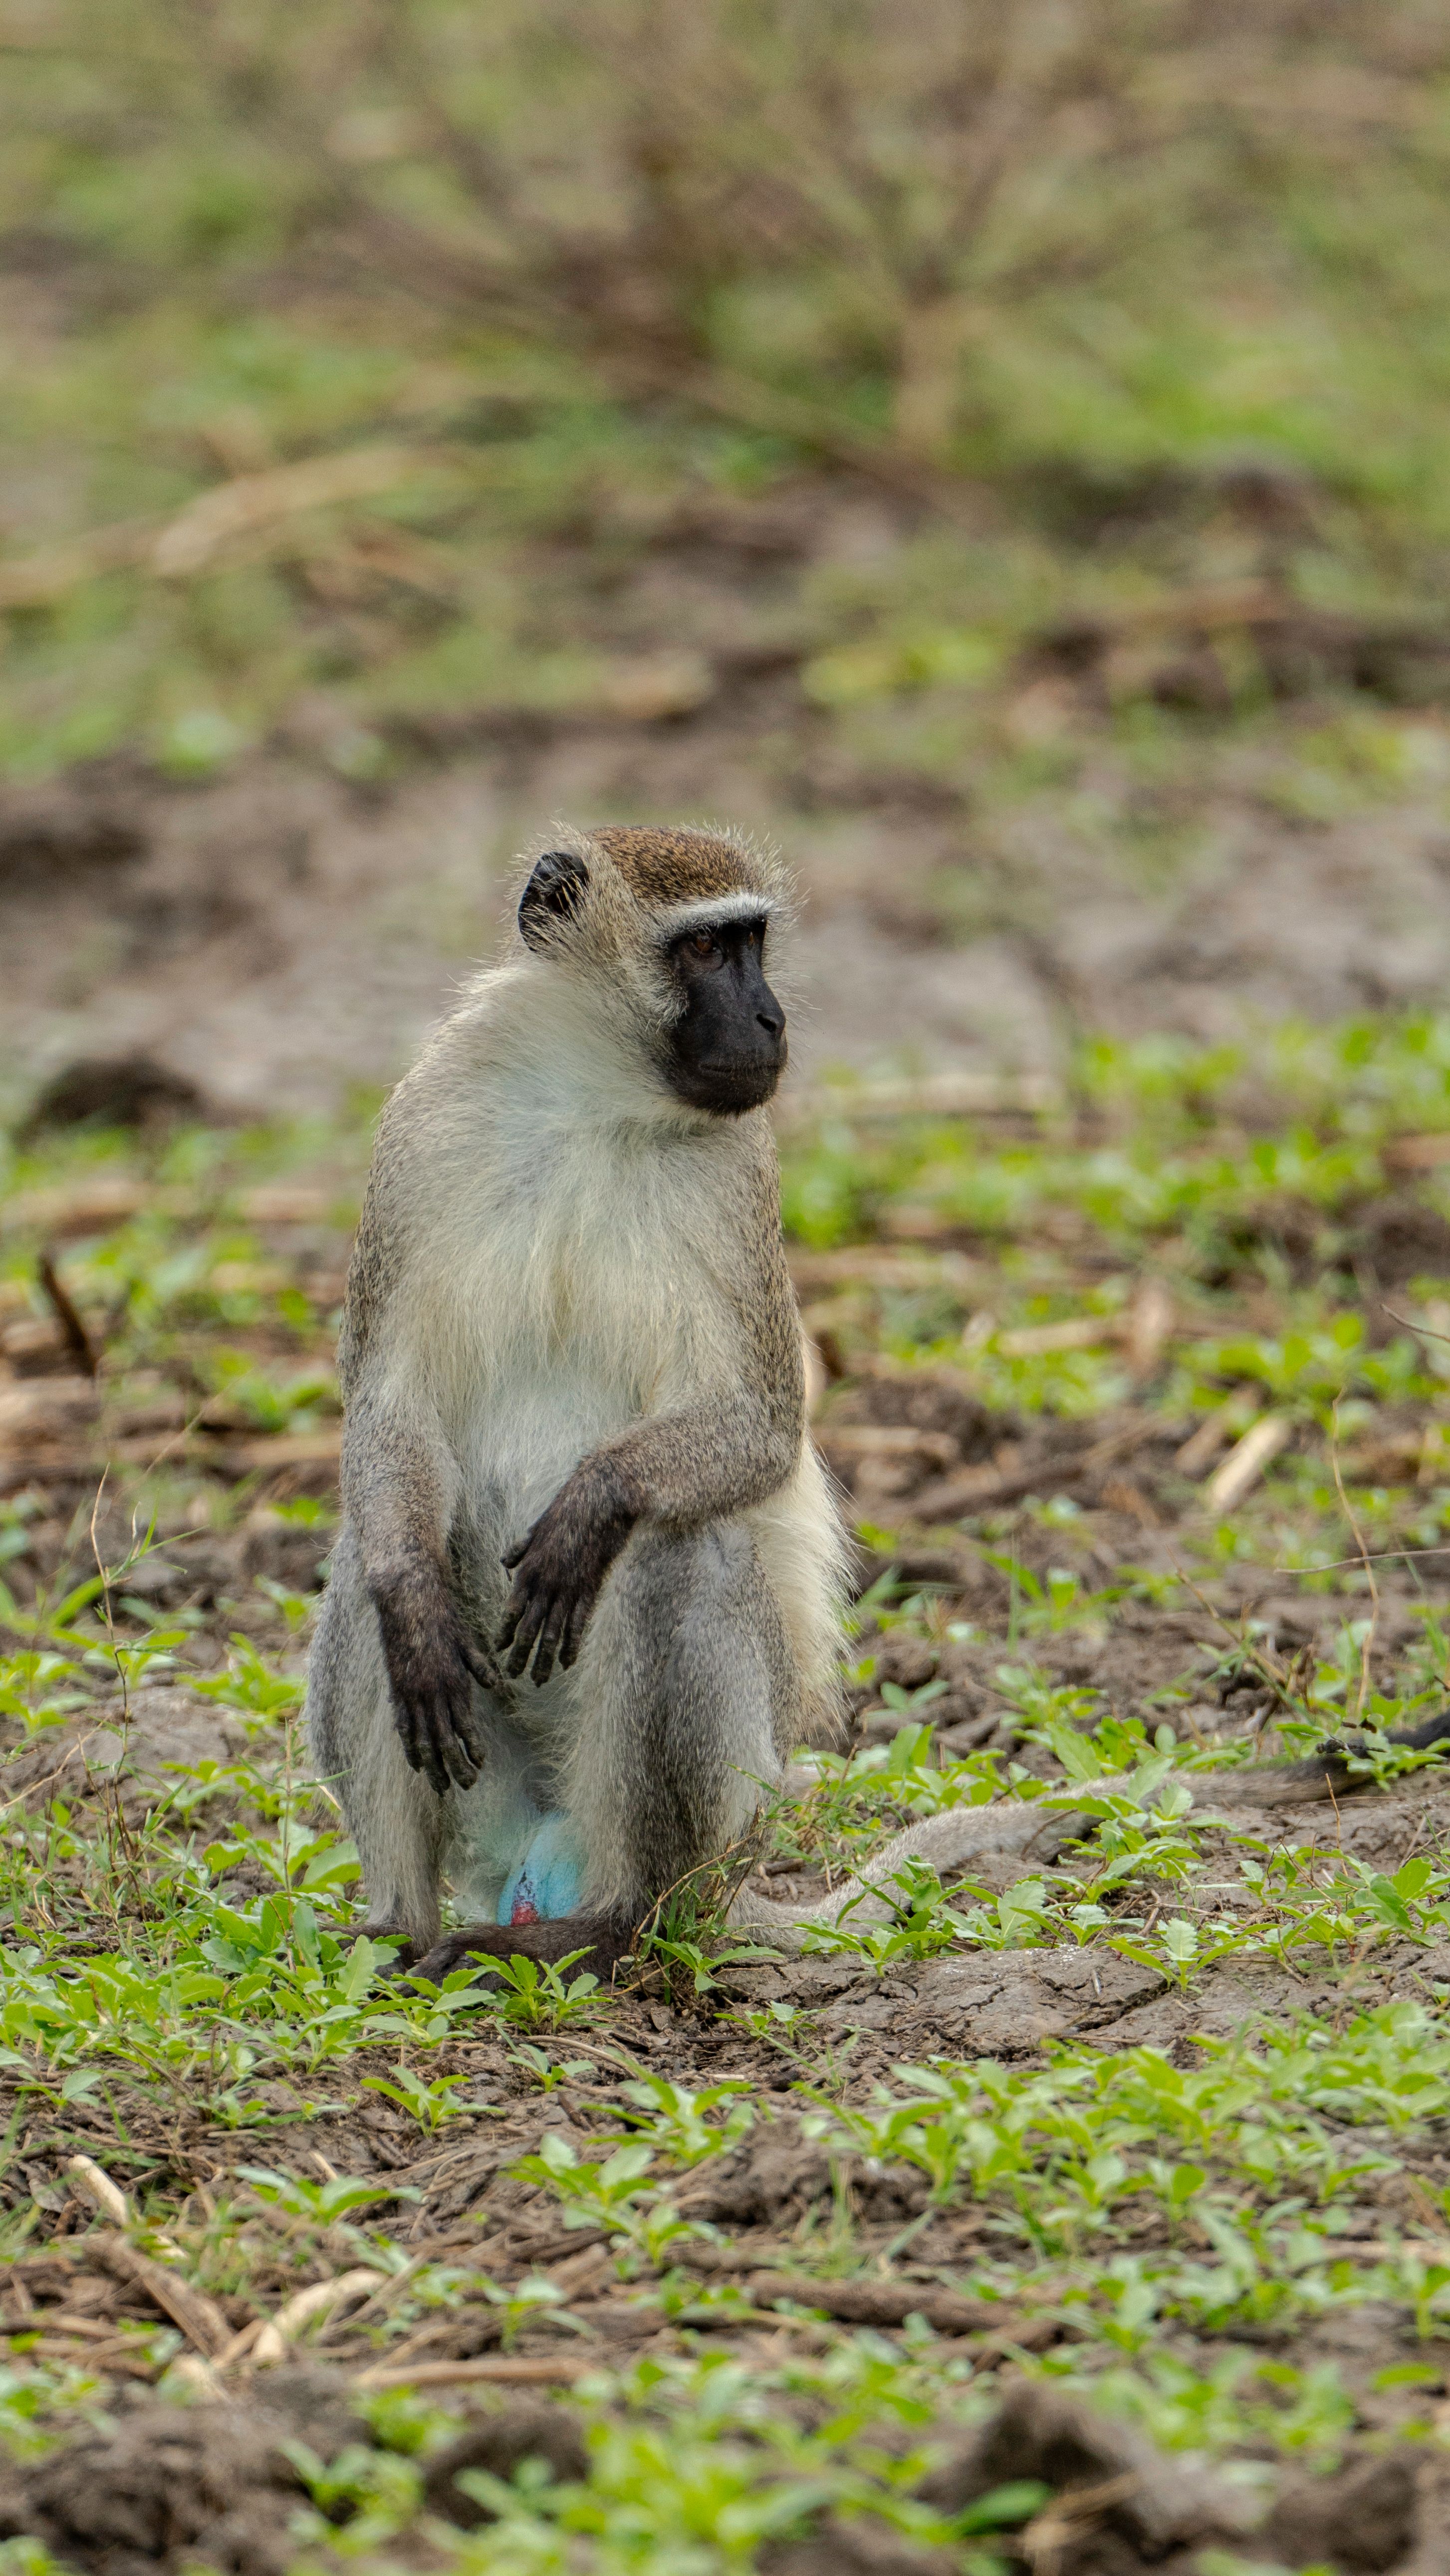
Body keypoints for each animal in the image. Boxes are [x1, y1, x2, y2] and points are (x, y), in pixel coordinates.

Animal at [305, 822, 851, 1983]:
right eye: (707, 950)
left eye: (754, 943)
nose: (773, 1018)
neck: (593, 1101)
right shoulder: (421, 1128)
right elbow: (390, 1410)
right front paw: (413, 1608)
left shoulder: (742, 1176)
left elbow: (761, 1426)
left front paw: (587, 1510)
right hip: (490, 1789)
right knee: (370, 1556)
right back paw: (398, 1931)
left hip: (740, 1798)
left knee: (676, 1549)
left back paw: (607, 1924)